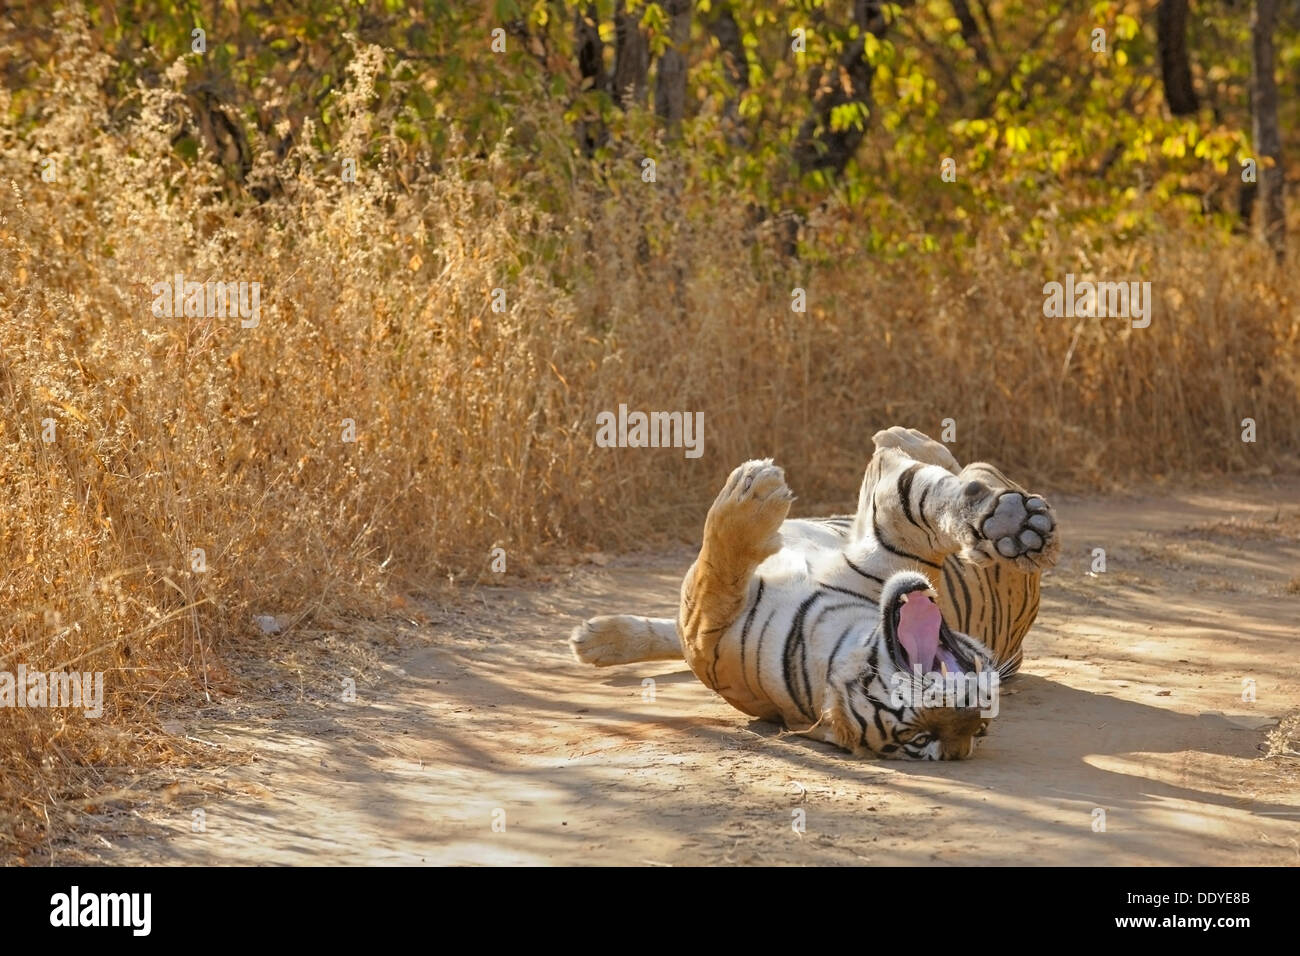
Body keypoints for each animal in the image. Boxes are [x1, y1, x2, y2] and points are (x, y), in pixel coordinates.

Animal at [568, 426, 1059, 759]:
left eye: (979, 731)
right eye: (921, 738)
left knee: (948, 465)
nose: (974, 704)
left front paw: (1013, 525)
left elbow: (923, 493)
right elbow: (712, 580)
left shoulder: (894, 536)